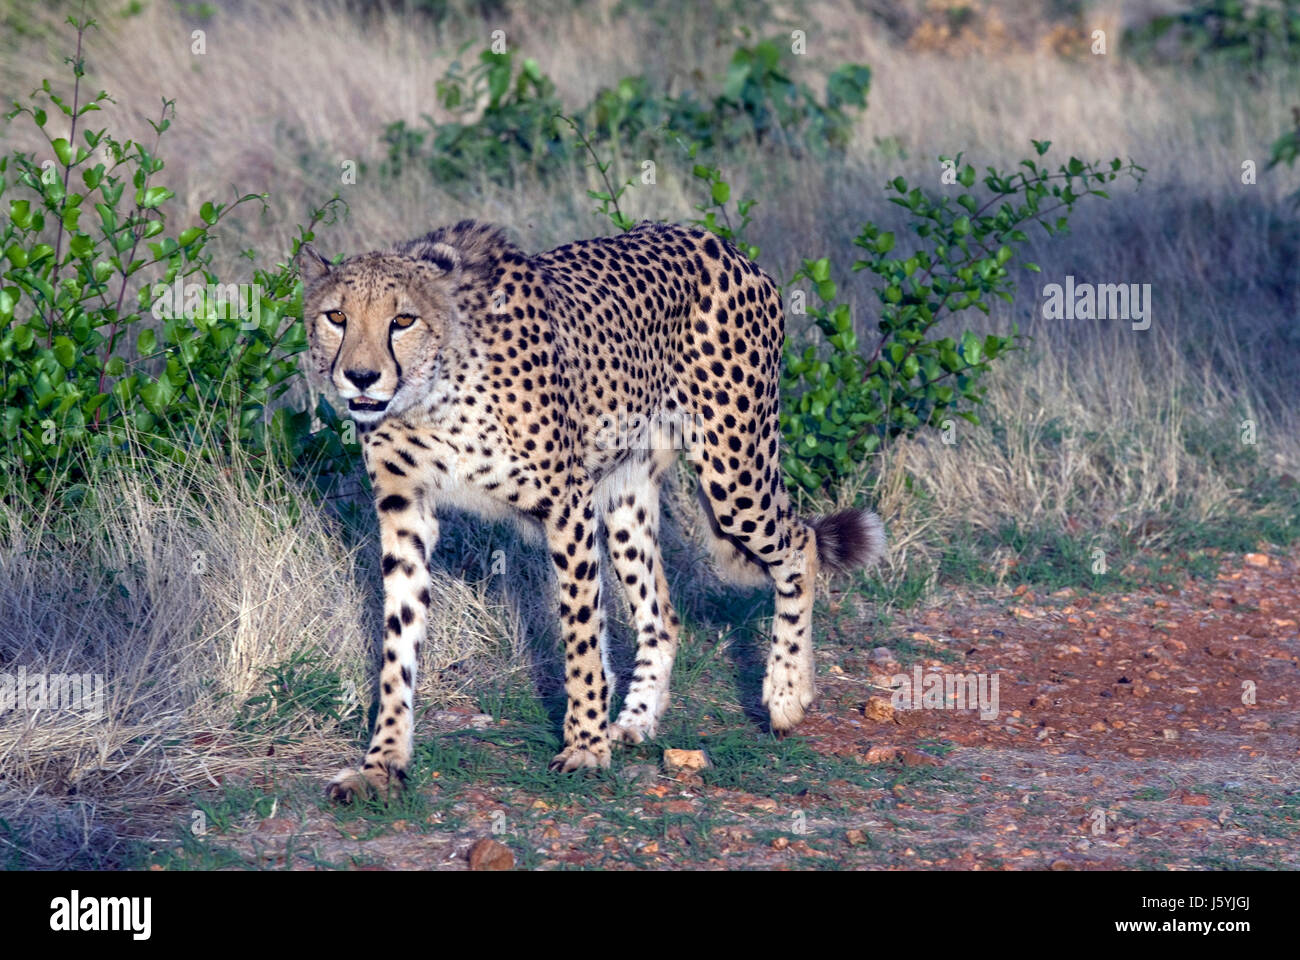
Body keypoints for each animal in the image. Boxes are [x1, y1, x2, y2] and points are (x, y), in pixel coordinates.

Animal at [296, 219, 885, 801]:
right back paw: (635, 720)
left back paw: (786, 693)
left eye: (402, 319)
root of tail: (719, 243)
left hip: (735, 470)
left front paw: (584, 746)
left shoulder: (567, 502)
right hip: (626, 496)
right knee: (662, 614)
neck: (431, 396)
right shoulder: (405, 511)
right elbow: (398, 645)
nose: (361, 377)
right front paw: (382, 763)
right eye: (336, 316)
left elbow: (579, 633)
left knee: (799, 543)